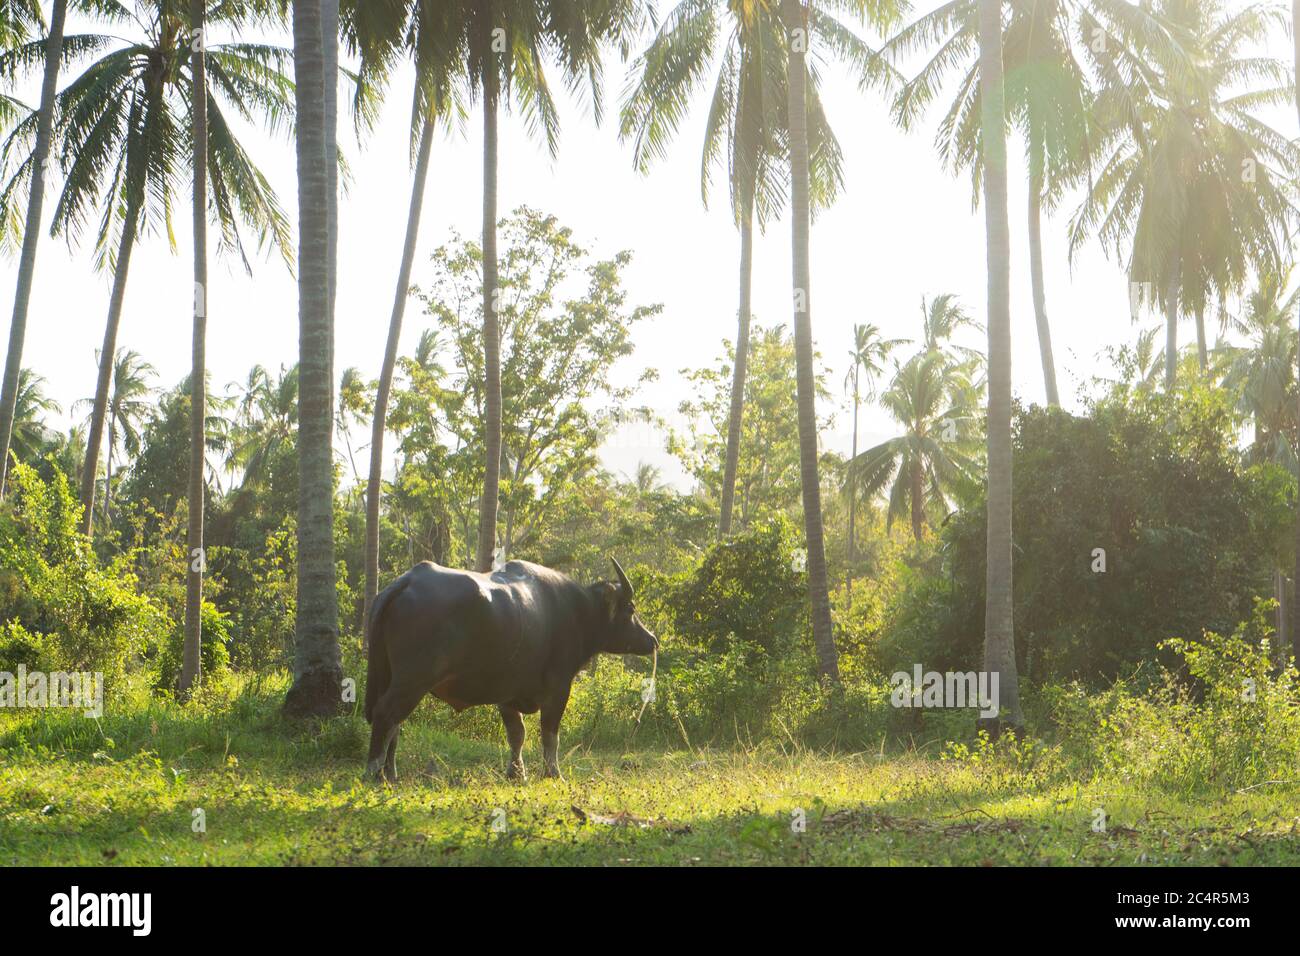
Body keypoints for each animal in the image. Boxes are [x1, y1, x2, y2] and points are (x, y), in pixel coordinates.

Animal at [364, 557, 658, 781]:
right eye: (630, 609)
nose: (652, 639)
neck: (577, 611)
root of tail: (405, 582)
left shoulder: (507, 692)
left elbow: (517, 734)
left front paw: (516, 773)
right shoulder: (559, 687)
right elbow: (550, 733)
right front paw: (553, 773)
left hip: (388, 674)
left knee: (394, 723)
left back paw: (391, 773)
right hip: (413, 679)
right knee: (386, 714)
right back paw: (375, 773)